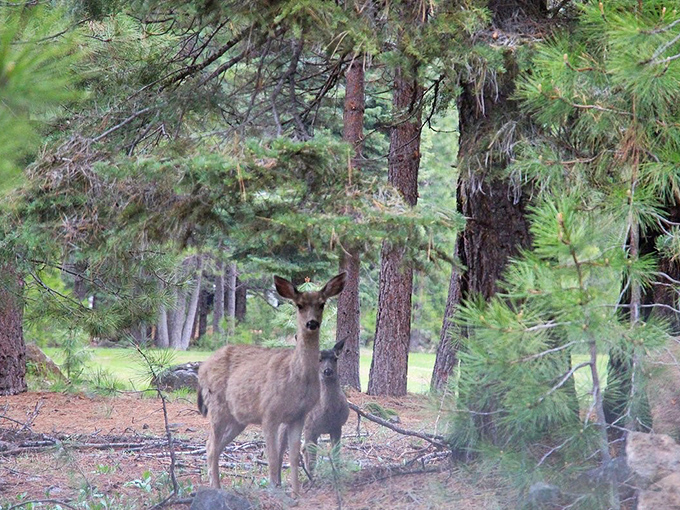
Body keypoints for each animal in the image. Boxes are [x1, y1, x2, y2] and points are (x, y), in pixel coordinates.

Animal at [196, 273, 346, 496]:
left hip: (238, 418)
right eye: (299, 305)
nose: (311, 323)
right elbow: (273, 457)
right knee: (211, 446)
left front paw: (296, 493)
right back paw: (215, 488)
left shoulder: (298, 416)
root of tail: (202, 368)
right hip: (216, 406)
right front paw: (275, 490)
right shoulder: (269, 413)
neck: (296, 377)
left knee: (213, 446)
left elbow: (293, 456)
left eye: (322, 303)